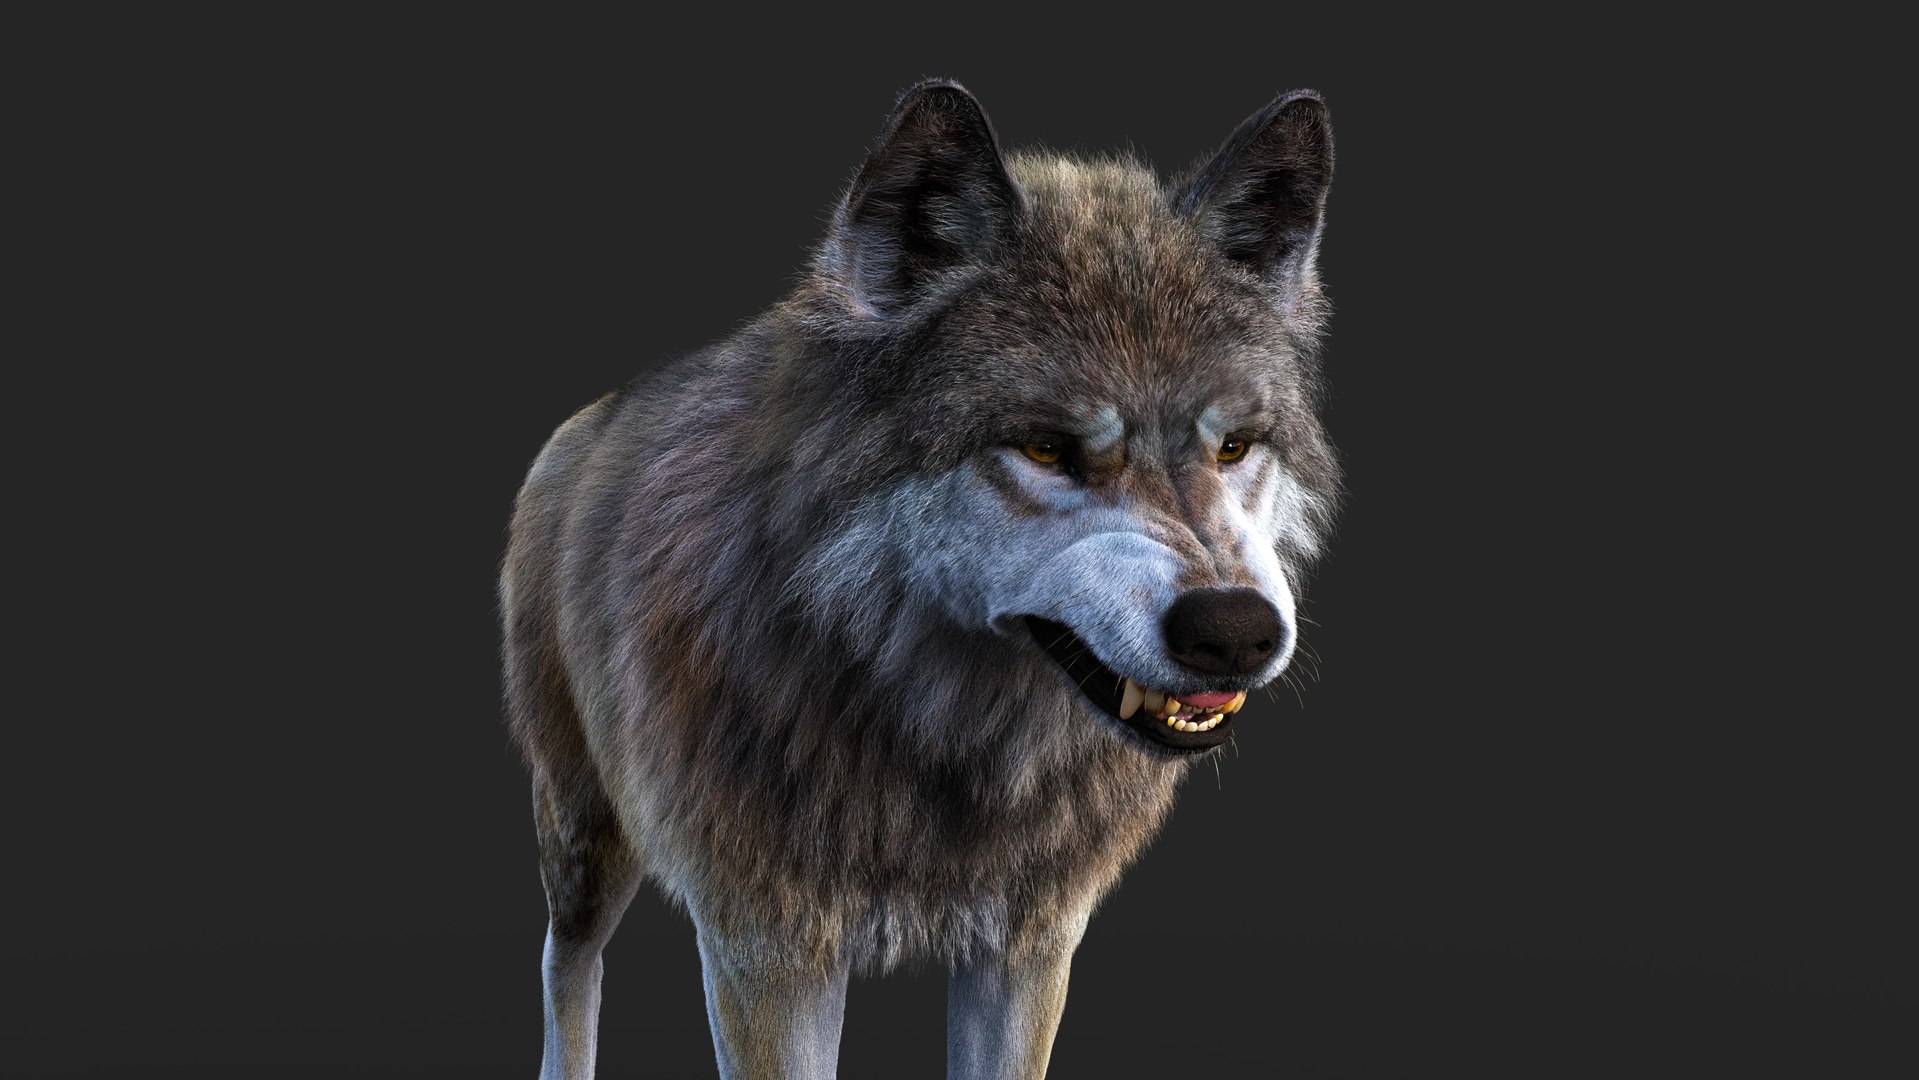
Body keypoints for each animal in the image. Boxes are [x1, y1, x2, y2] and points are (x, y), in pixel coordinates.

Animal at [500, 79, 1339, 1078]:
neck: (936, 736)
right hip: (582, 834)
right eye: (1046, 448)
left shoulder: (1028, 943)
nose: (1234, 629)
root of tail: (576, 423)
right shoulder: (764, 950)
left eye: (1234, 445)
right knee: (565, 956)